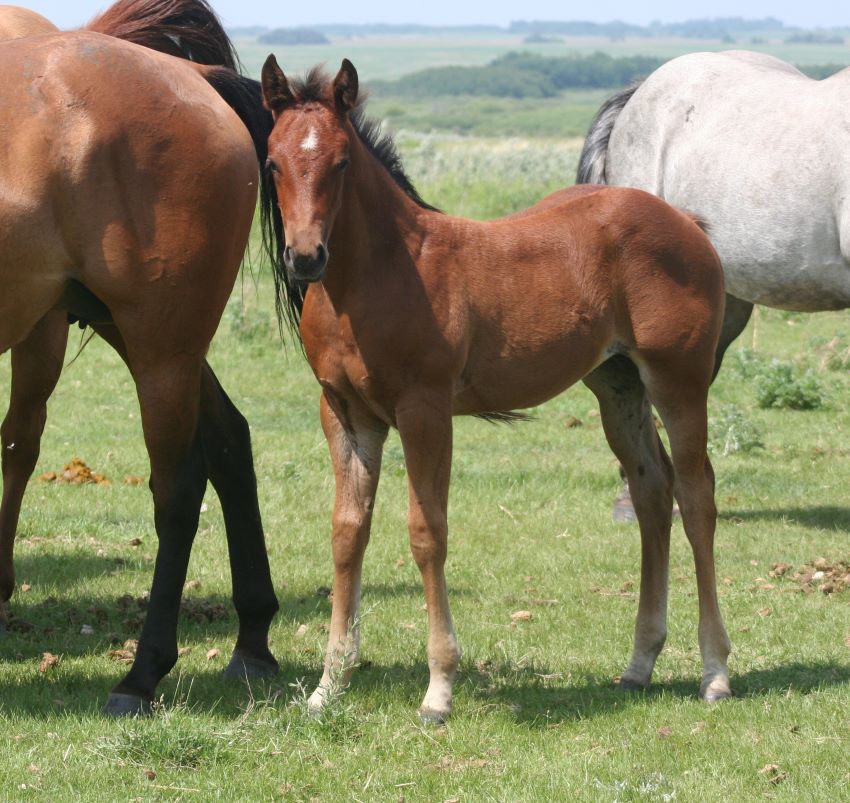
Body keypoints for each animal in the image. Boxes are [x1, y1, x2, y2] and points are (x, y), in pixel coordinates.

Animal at [0, 12, 288, 715]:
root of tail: (193, 77)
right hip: (138, 336)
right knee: (229, 439)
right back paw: (252, 643)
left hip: (159, 345)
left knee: (177, 491)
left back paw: (142, 674)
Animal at [260, 56, 732, 722]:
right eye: (273, 162)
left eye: (342, 162)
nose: (305, 258)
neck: (375, 276)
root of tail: (686, 223)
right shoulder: (346, 415)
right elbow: (347, 533)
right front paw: (329, 686)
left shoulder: (425, 410)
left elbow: (427, 533)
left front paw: (438, 689)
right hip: (618, 388)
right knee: (651, 491)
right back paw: (639, 664)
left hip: (678, 379)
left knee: (696, 497)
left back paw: (715, 672)